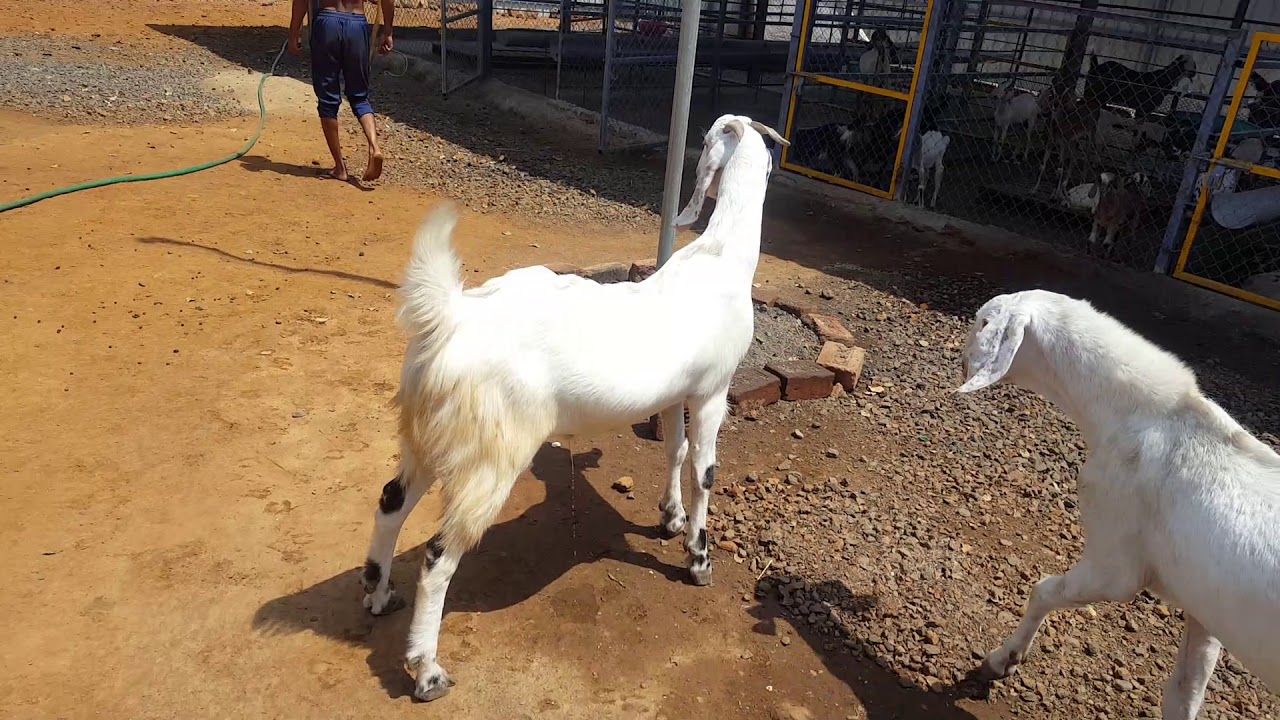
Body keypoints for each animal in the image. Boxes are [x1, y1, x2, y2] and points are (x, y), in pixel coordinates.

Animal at [360, 114, 786, 702]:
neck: (721, 258)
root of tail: (450, 320)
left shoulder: (676, 392)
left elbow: (674, 452)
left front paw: (670, 518)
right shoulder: (712, 390)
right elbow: (705, 471)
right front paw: (698, 560)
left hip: (428, 434)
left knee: (390, 503)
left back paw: (379, 596)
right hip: (491, 452)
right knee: (437, 558)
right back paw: (426, 671)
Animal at [958, 289, 1280, 720]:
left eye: (983, 321)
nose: (962, 361)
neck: (1149, 413)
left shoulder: (1114, 563)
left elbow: (1043, 589)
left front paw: (1001, 659)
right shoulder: (1207, 609)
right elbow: (1182, 693)